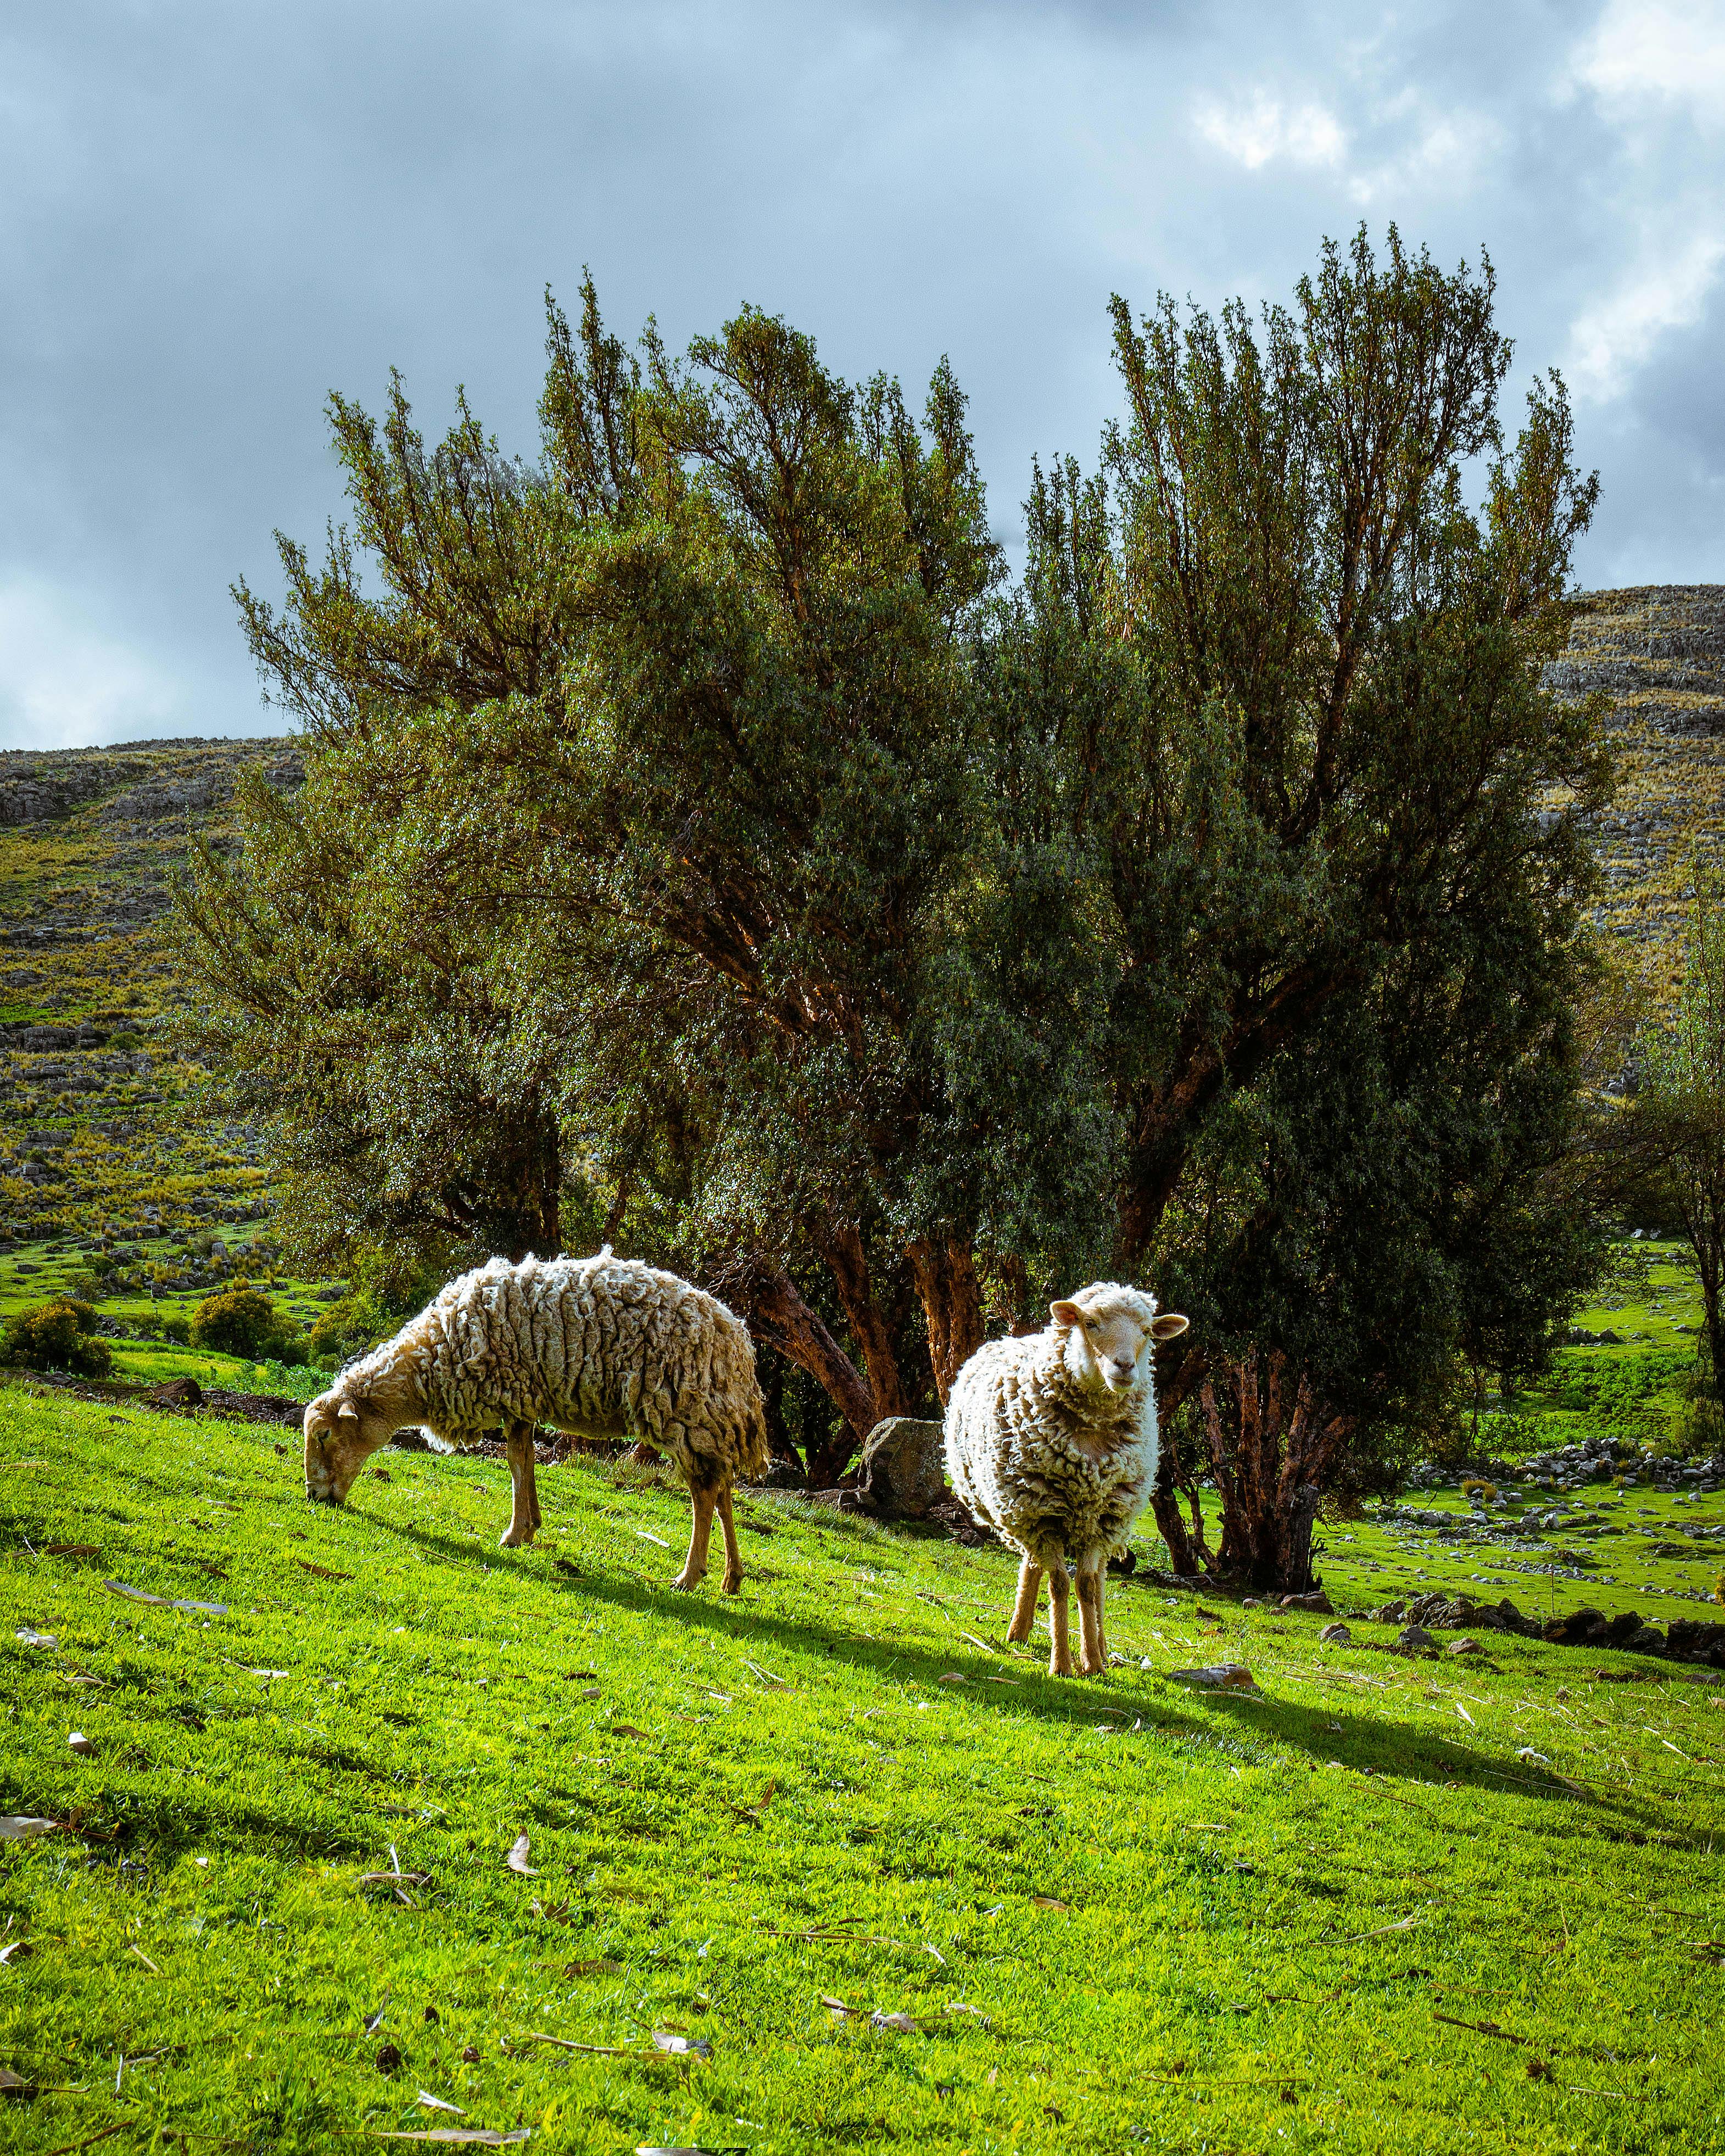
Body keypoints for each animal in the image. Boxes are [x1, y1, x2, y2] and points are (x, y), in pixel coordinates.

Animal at [301, 1248, 770, 1592]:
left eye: (324, 1434)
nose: (314, 1496)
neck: (432, 1359)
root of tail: (739, 1342)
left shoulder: (511, 1391)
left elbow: (514, 1462)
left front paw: (514, 1533)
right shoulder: (522, 1401)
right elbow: (524, 1461)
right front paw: (530, 1527)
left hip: (684, 1412)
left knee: (703, 1492)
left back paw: (690, 1576)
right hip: (711, 1421)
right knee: (723, 1488)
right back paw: (731, 1577)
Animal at [944, 1282, 1189, 1676]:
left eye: (1148, 1332)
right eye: (1089, 1323)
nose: (1124, 1367)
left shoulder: (1102, 1522)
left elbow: (1087, 1585)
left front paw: (1093, 1663)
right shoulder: (1041, 1517)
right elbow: (1059, 1584)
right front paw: (1061, 1663)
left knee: (1099, 1578)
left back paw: (1100, 1644)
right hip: (1022, 1512)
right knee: (1033, 1565)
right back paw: (1019, 1630)